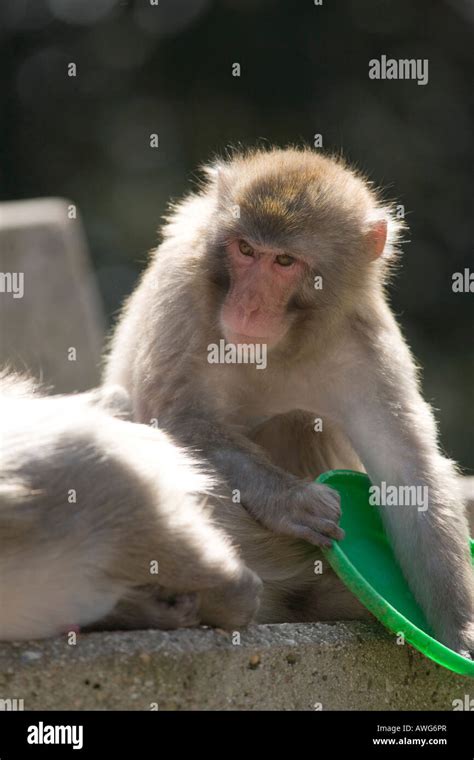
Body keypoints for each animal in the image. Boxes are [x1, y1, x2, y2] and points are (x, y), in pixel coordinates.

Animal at [105, 147, 474, 656]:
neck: (276, 345)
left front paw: (460, 634)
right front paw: (292, 501)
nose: (248, 306)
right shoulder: (183, 292)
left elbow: (407, 470)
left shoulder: (363, 339)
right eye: (244, 250)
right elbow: (174, 422)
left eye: (283, 261)